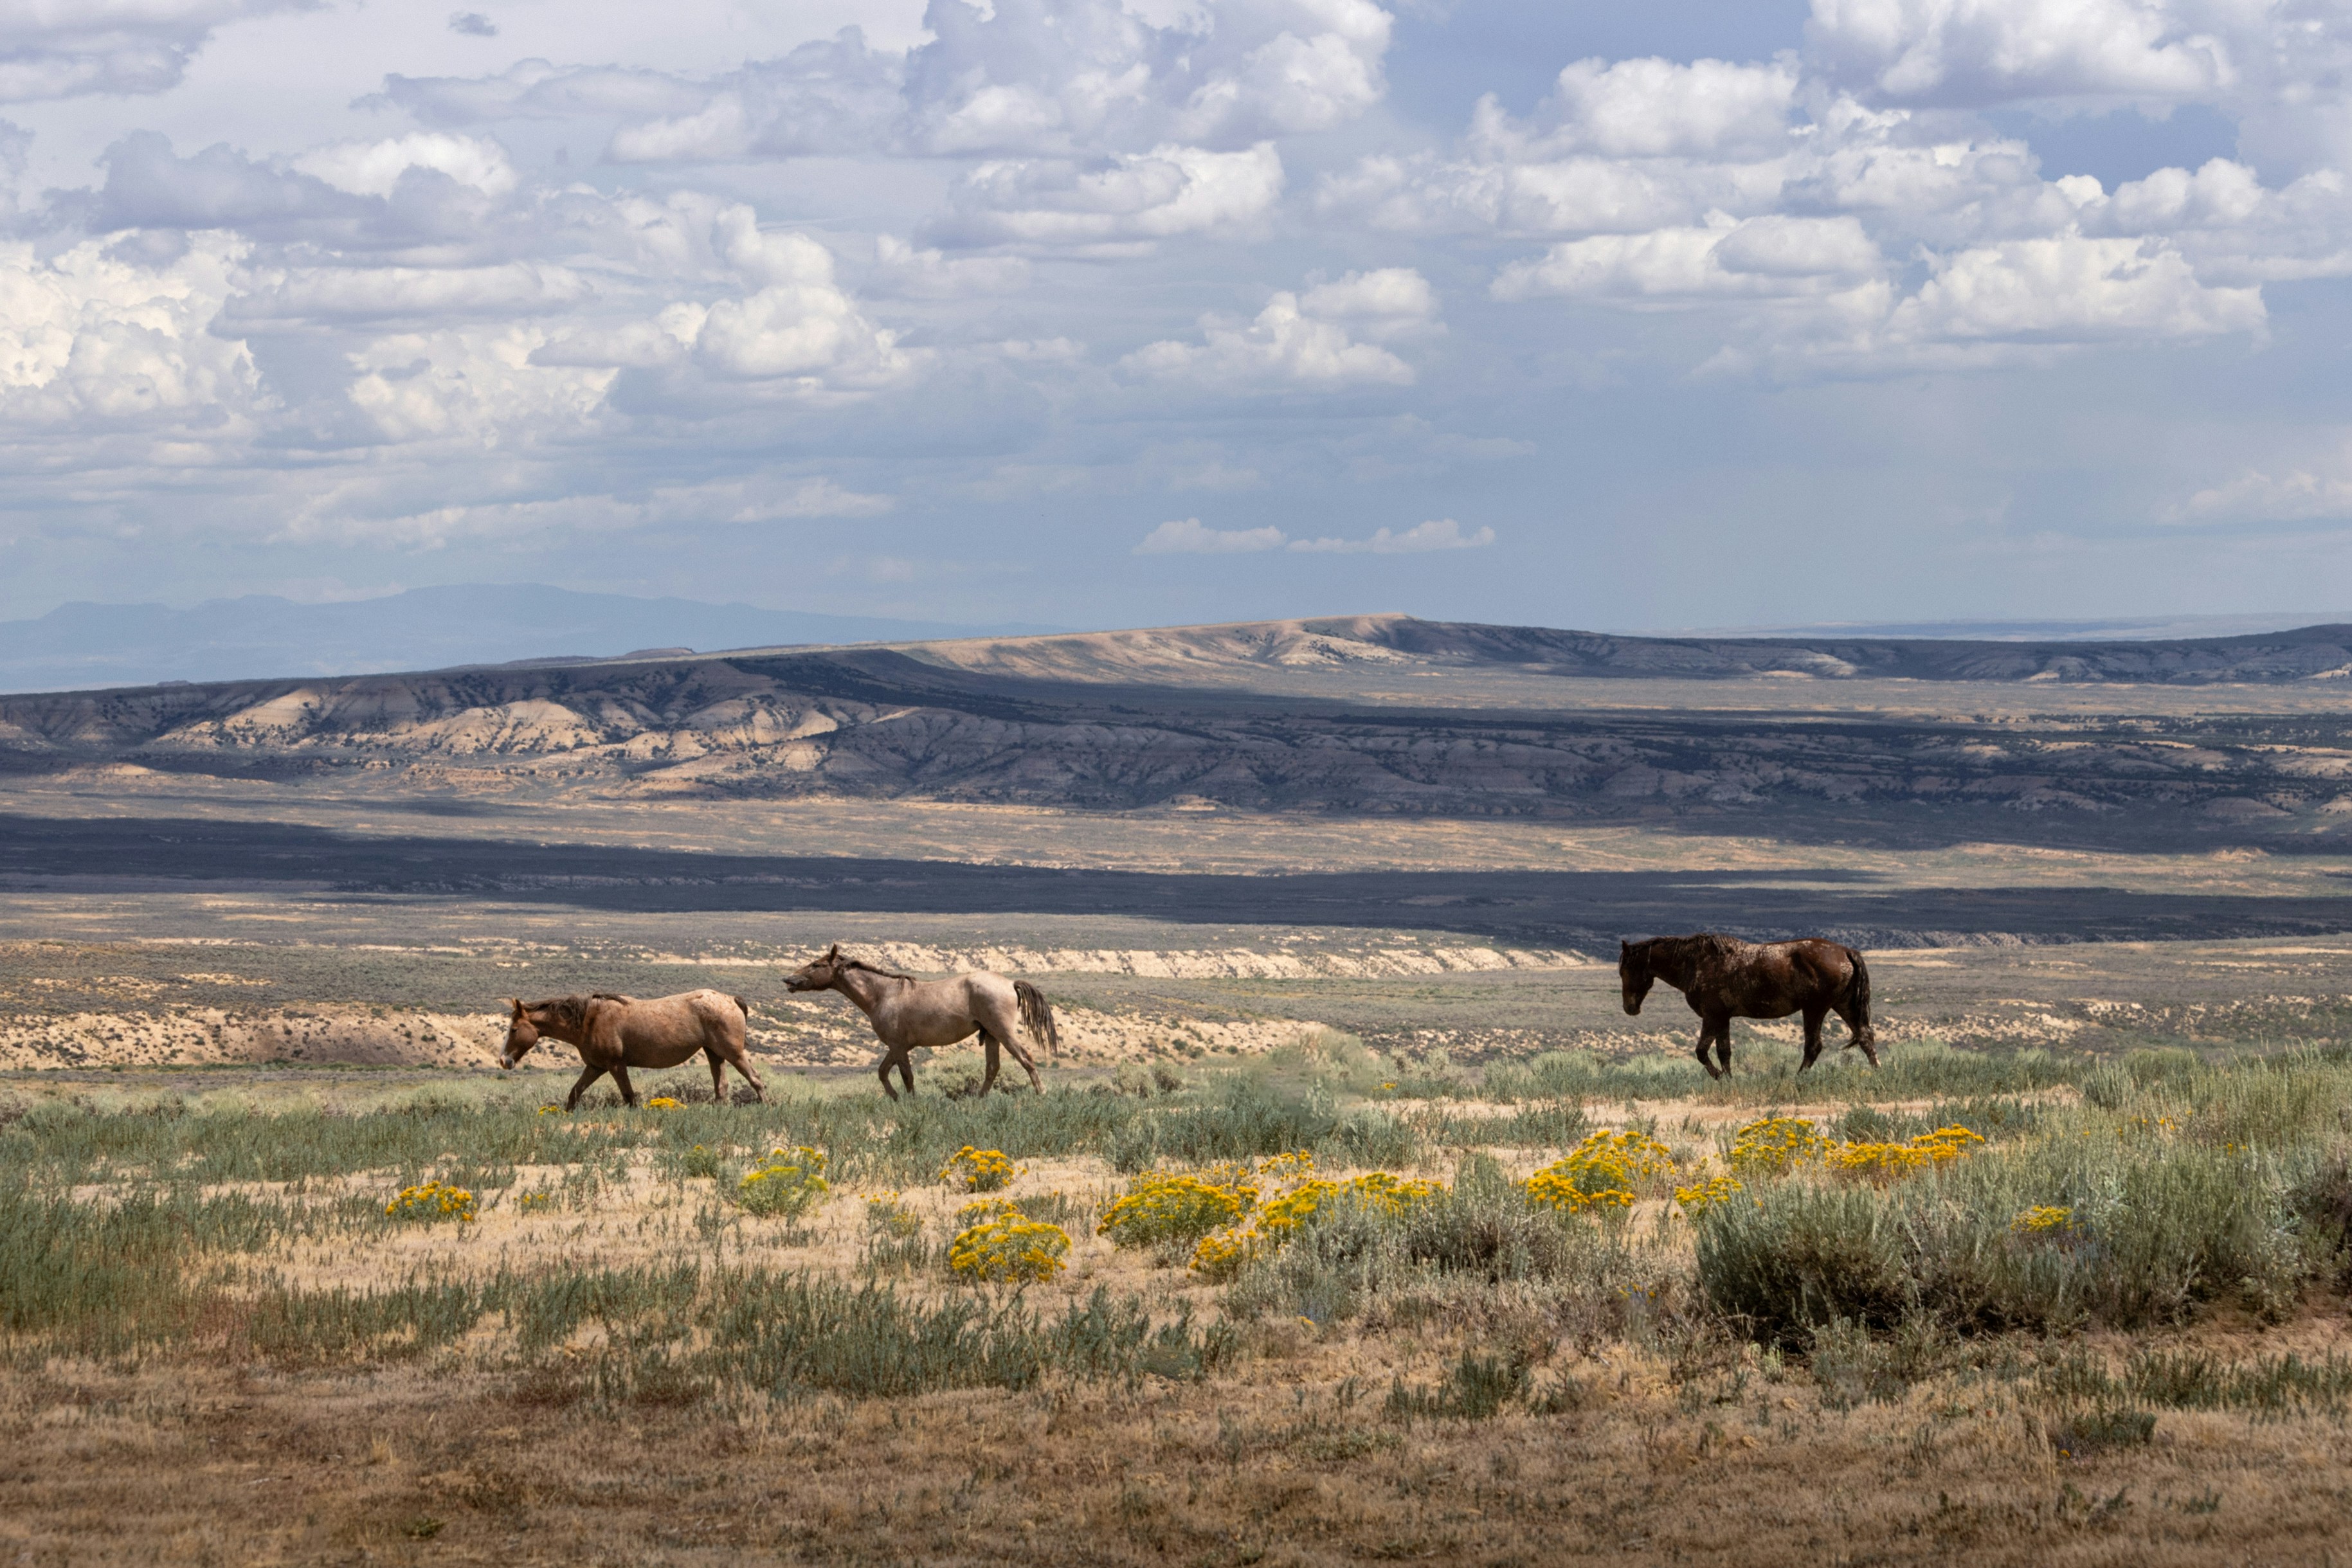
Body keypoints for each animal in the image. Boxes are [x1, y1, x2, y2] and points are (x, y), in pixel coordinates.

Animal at [501, 990, 767, 1109]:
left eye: (514, 1029)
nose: (504, 1061)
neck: (589, 1020)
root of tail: (731, 999)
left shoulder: (615, 1066)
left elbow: (629, 1096)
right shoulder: (595, 1067)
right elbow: (574, 1093)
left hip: (733, 1053)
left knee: (756, 1079)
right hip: (714, 1054)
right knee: (721, 1087)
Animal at [784, 944, 1057, 1100]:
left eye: (816, 964)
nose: (788, 980)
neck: (883, 994)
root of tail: (1010, 983)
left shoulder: (898, 1046)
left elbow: (906, 1076)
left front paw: (911, 1103)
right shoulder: (897, 1047)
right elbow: (883, 1072)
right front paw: (895, 1098)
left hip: (1003, 1032)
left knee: (1026, 1059)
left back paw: (1042, 1094)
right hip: (991, 1035)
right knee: (992, 1069)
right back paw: (979, 1101)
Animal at [1618, 934, 1875, 1080]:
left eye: (1625, 970)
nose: (1629, 1008)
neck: (1695, 962)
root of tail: (1846, 951)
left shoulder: (1712, 1016)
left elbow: (1701, 1052)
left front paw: (1719, 1077)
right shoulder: (1723, 1018)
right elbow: (1724, 1052)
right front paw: (1729, 1079)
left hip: (1815, 1009)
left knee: (1813, 1047)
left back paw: (1798, 1078)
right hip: (1843, 1006)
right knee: (1865, 1037)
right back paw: (1877, 1073)